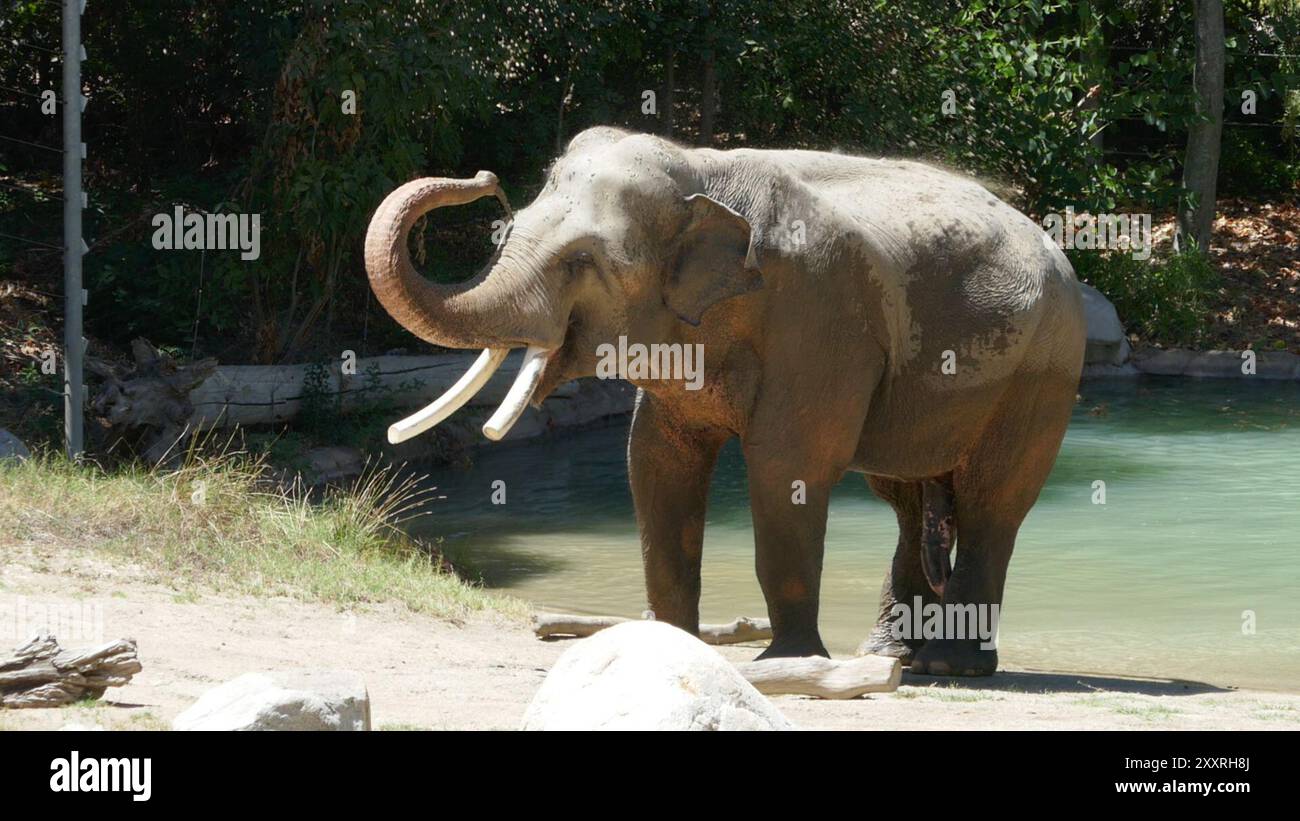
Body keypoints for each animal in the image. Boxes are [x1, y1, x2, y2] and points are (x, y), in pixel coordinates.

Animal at [364, 126, 1085, 676]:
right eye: (506, 230)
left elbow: (785, 466)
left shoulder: (820, 317)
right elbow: (656, 460)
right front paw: (668, 643)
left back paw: (949, 665)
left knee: (993, 502)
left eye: (580, 263)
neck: (703, 171)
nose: (482, 176)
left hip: (1044, 367)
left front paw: (788, 662)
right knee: (906, 498)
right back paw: (890, 656)